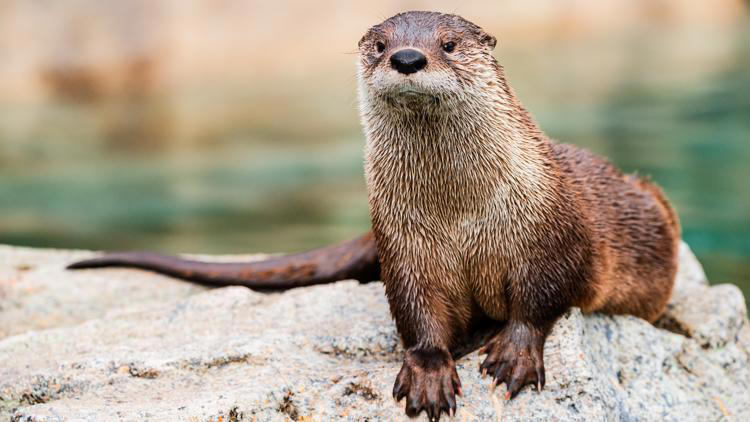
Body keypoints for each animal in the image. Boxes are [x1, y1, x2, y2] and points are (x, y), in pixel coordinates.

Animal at [68, 11, 680, 421]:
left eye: (448, 44)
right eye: (382, 45)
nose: (407, 58)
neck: (461, 212)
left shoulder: (553, 229)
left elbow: (545, 295)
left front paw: (513, 352)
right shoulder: (403, 244)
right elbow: (416, 311)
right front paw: (430, 371)